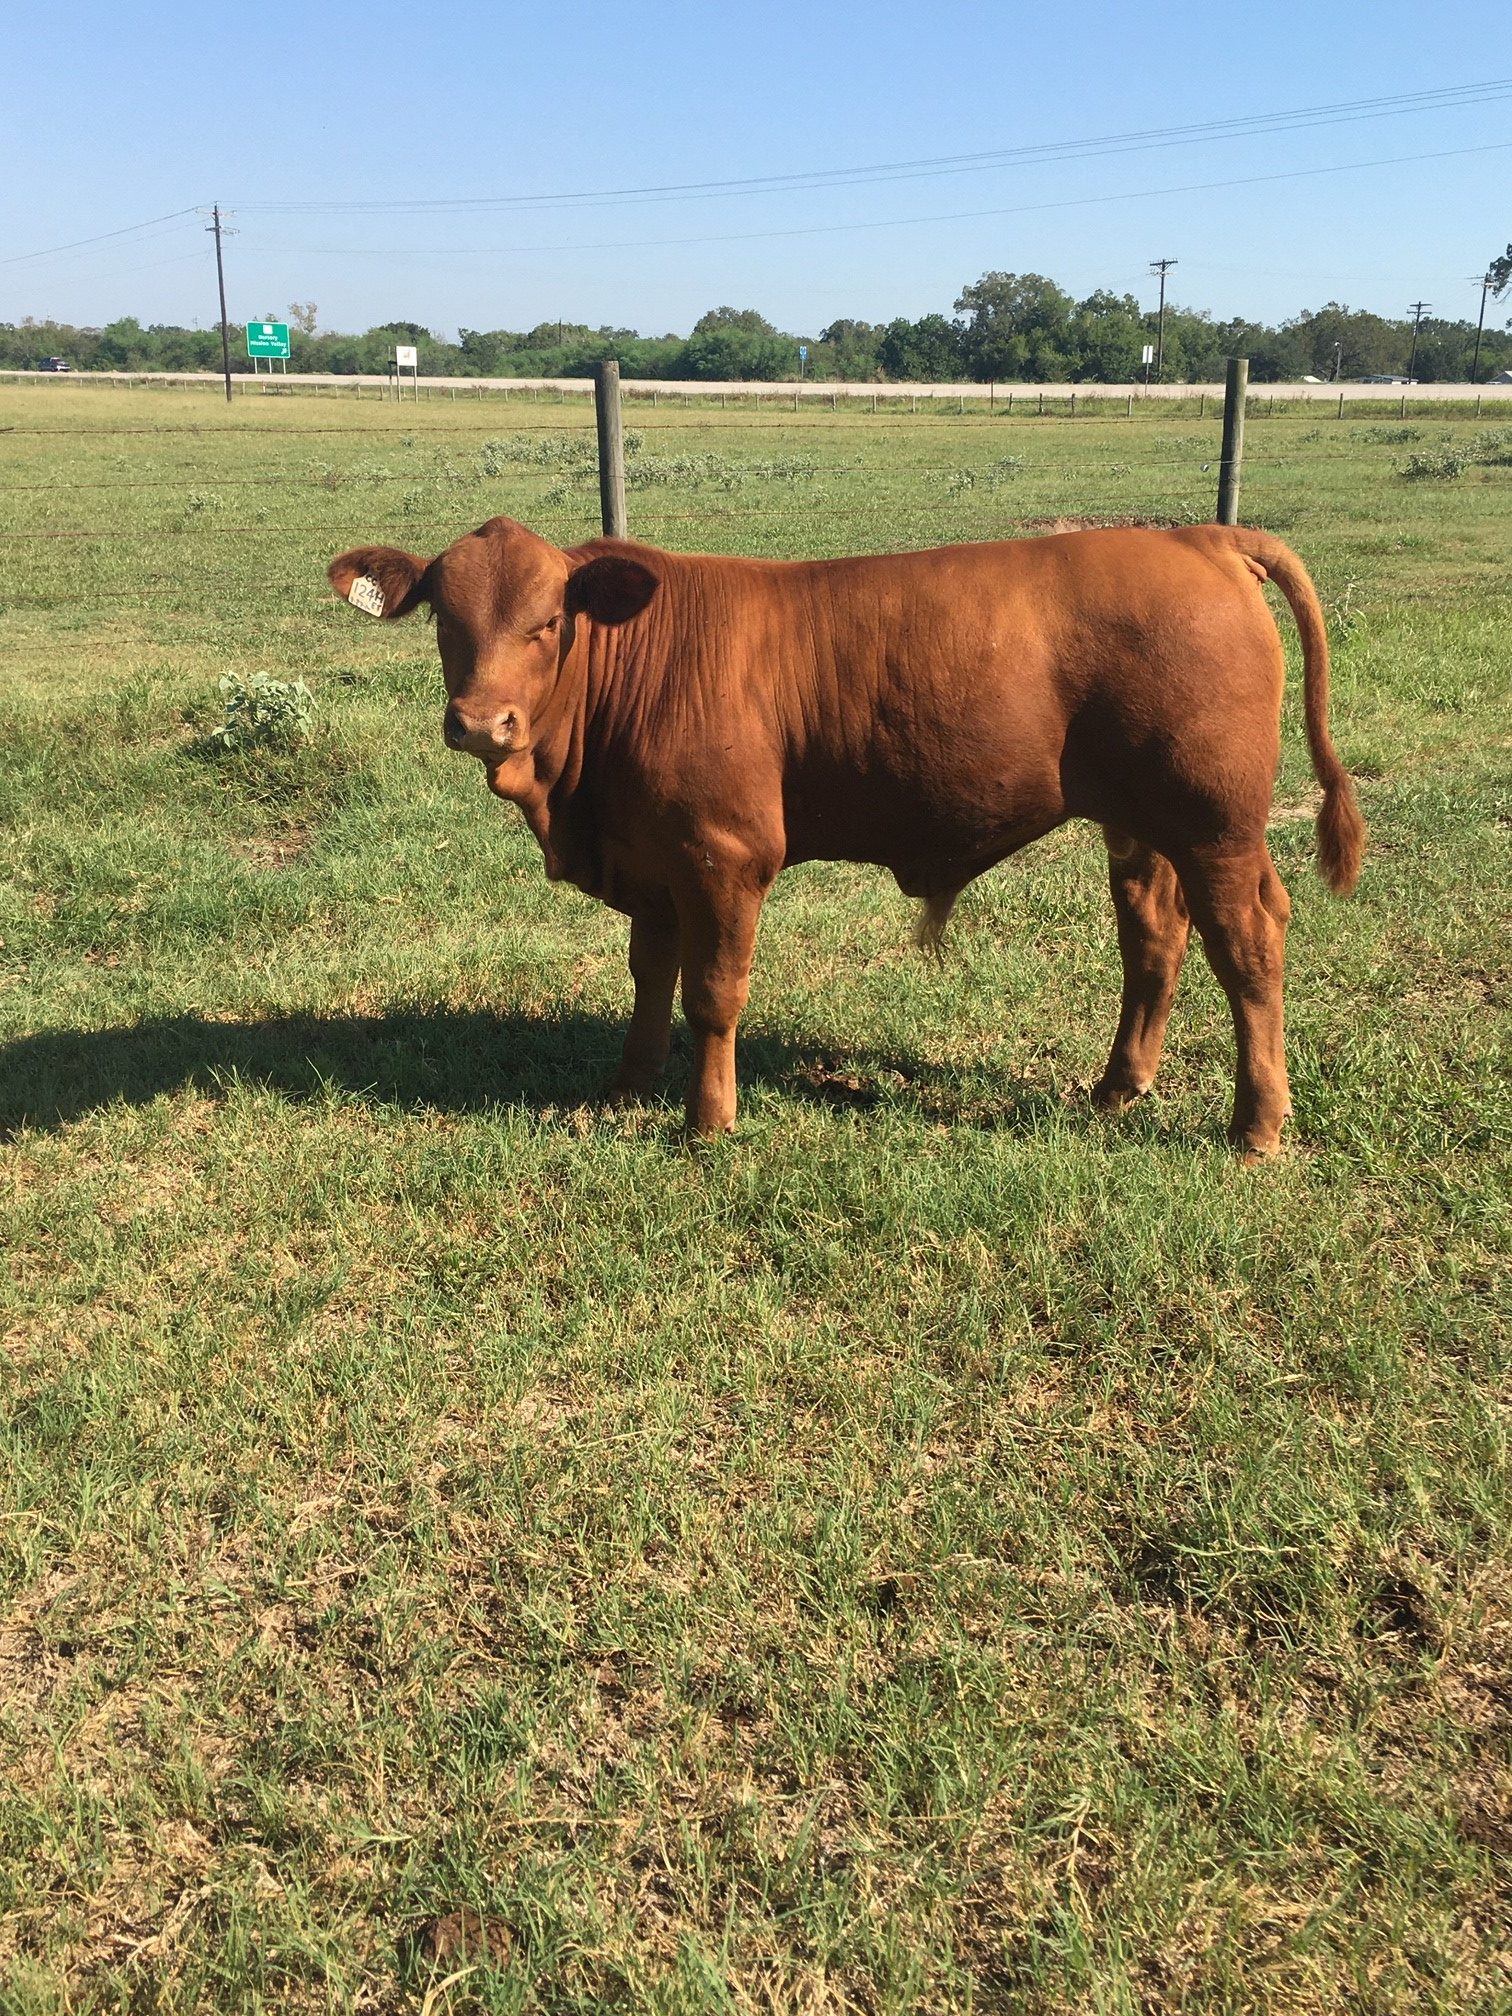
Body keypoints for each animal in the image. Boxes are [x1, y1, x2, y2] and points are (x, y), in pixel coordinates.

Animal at [327, 516, 1364, 1158]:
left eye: (550, 622)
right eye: (444, 620)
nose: (481, 723)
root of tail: (1203, 536)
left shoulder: (725, 856)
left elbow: (711, 994)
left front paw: (707, 1121)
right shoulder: (653, 861)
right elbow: (649, 980)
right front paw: (626, 1088)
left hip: (1217, 826)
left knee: (1249, 946)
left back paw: (1256, 1126)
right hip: (1141, 827)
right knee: (1154, 938)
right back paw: (1118, 1088)